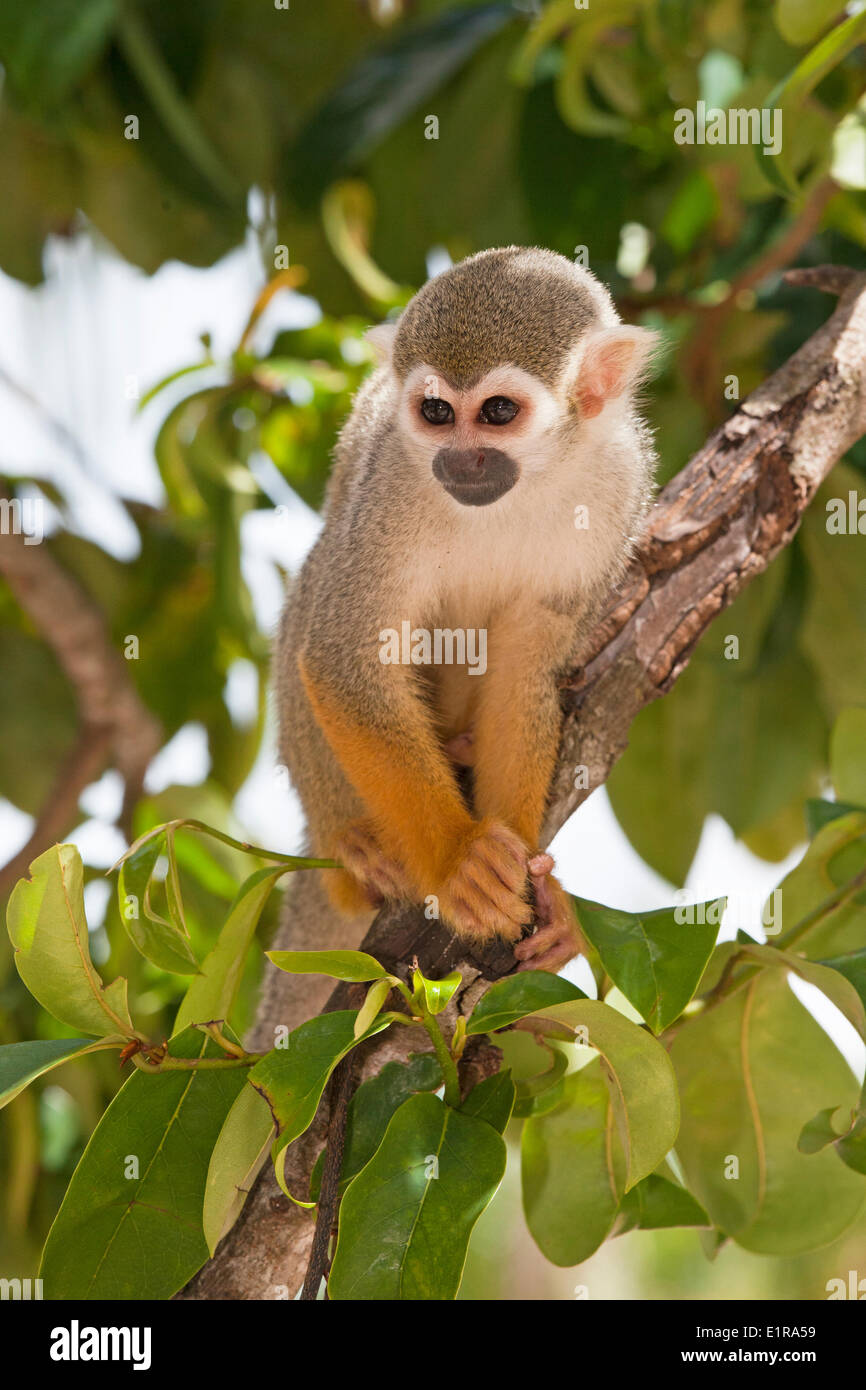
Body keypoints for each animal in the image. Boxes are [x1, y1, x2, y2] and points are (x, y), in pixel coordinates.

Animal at [272, 246, 657, 984]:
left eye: (499, 411)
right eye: (437, 412)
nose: (461, 459)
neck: (532, 480)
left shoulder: (619, 487)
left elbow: (528, 669)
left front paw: (539, 885)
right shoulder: (391, 478)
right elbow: (341, 653)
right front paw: (458, 861)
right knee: (317, 589)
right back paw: (353, 849)